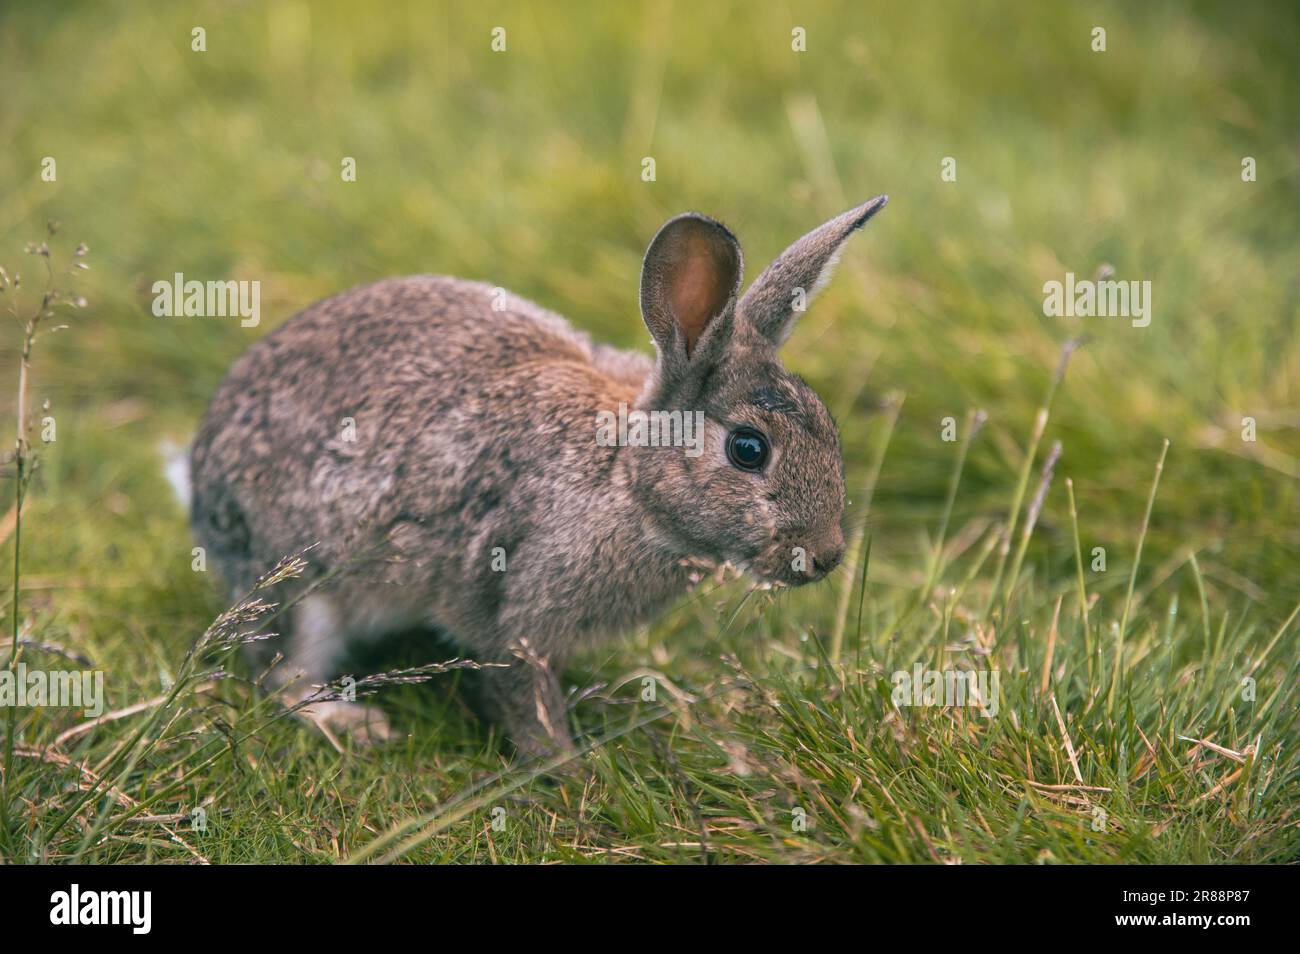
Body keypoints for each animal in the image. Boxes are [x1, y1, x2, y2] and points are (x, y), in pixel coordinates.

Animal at [189, 195, 888, 756]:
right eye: (748, 449)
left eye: (827, 427)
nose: (825, 555)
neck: (623, 479)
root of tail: (199, 482)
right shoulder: (506, 606)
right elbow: (523, 694)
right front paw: (567, 769)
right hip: (301, 586)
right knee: (279, 676)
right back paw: (351, 723)